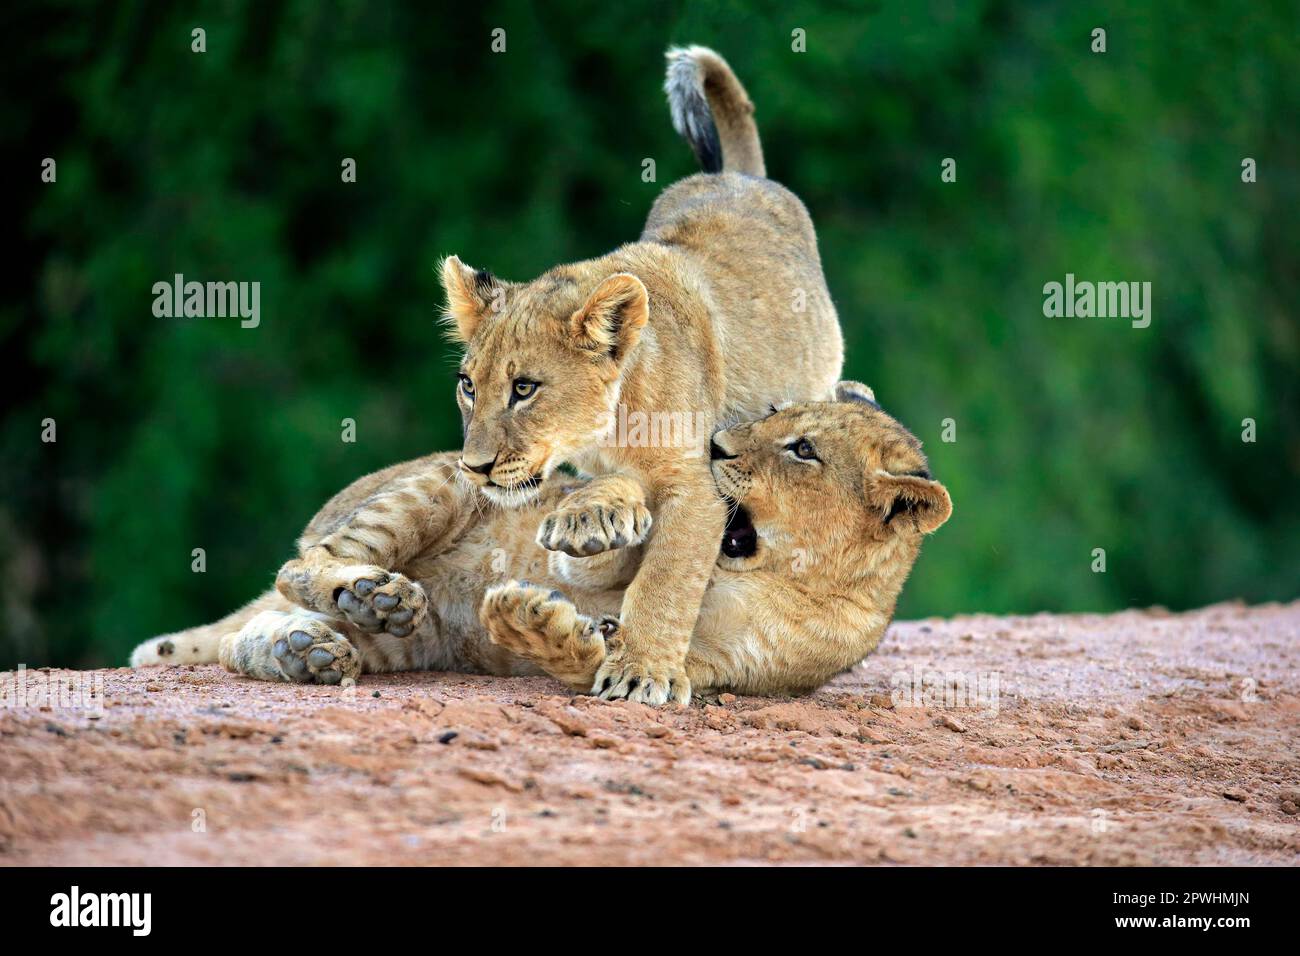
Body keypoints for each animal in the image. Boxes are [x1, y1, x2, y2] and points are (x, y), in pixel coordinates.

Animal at [130, 384, 951, 699]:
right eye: (778, 413)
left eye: (804, 450)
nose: (715, 445)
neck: (781, 572)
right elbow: (603, 544)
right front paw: (600, 523)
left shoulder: (720, 669)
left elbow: (603, 653)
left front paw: (537, 623)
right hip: (439, 484)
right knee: (303, 562)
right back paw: (363, 590)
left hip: (414, 642)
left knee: (249, 636)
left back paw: (309, 650)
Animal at [438, 45, 844, 704]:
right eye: (469, 386)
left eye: (524, 389)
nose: (473, 468)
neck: (612, 424)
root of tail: (739, 177)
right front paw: (595, 520)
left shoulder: (702, 484)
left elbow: (666, 581)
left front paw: (642, 672)